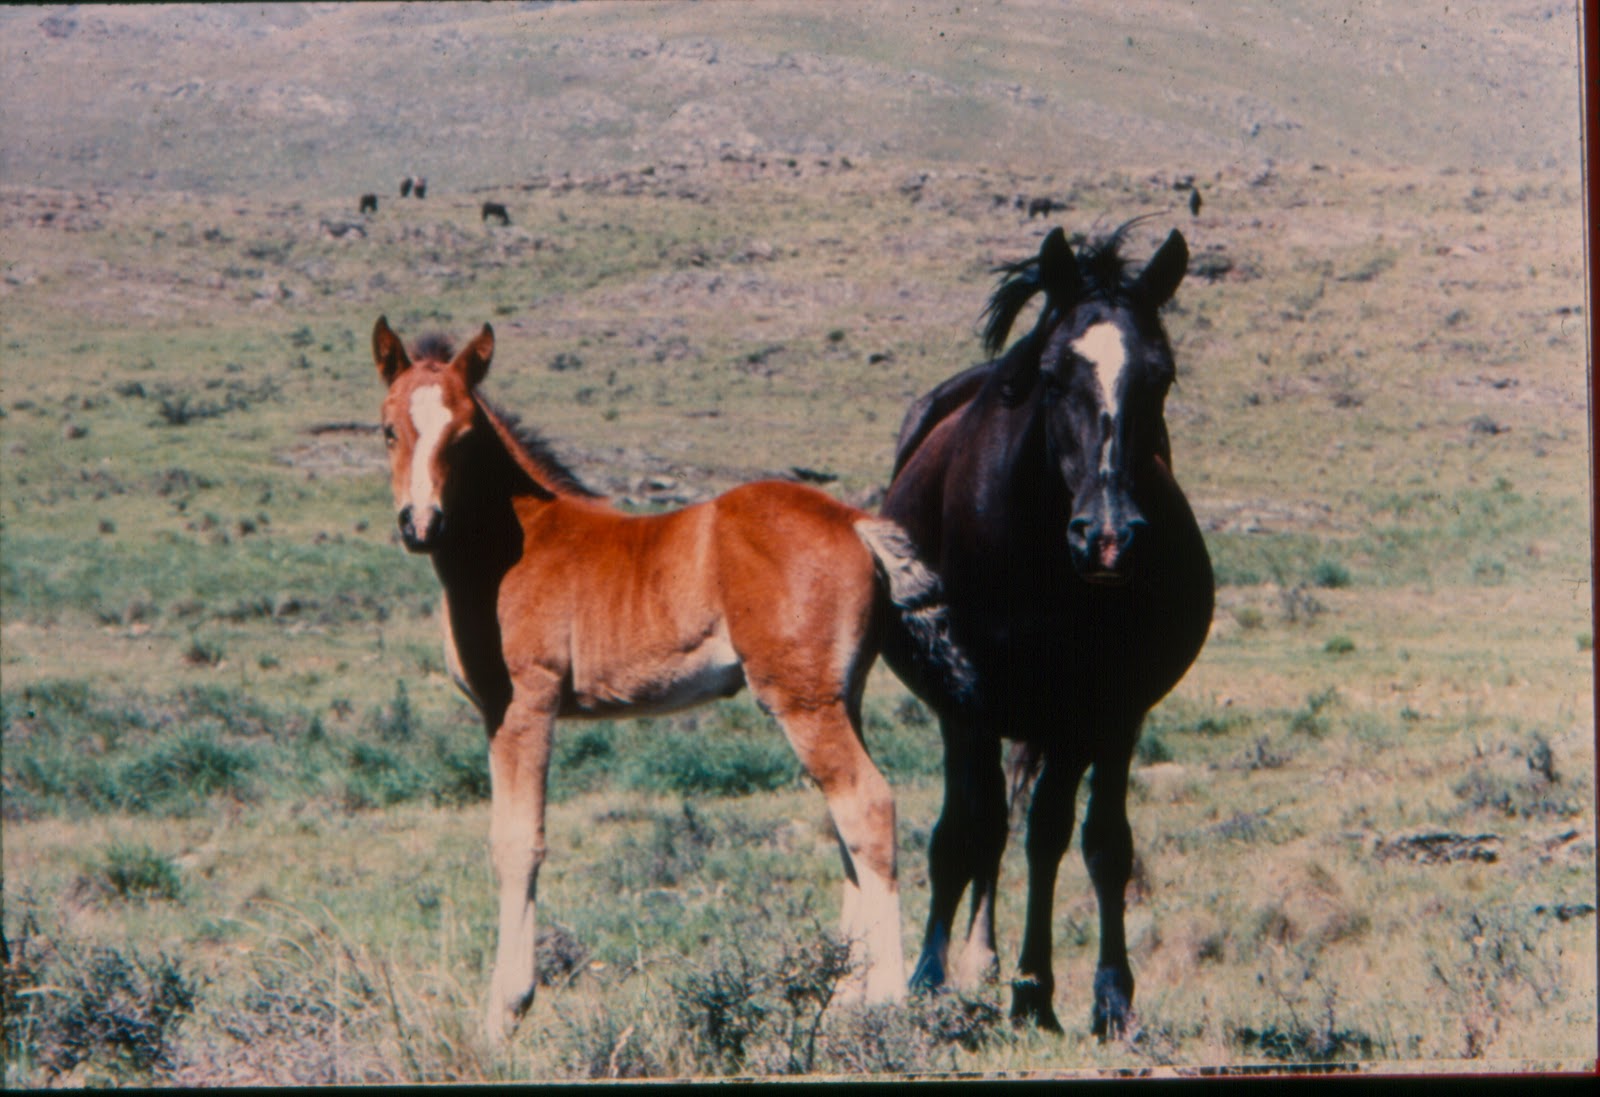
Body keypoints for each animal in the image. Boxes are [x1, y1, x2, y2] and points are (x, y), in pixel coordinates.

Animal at [371, 316, 971, 1042]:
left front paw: (504, 1012)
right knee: (845, 818)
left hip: (801, 701)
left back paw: (881, 1004)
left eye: (462, 434)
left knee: (868, 805)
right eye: (388, 428)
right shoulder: (496, 715)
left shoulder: (525, 706)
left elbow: (517, 843)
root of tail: (856, 521)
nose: (420, 524)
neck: (517, 541)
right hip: (837, 697)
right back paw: (840, 998)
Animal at [878, 224, 1214, 1038]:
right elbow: (962, 834)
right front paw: (930, 979)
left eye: (1162, 376)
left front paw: (1083, 994)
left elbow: (1087, 841)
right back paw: (967, 963)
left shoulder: (1107, 711)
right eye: (1056, 375)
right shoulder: (965, 701)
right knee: (983, 827)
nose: (1109, 539)